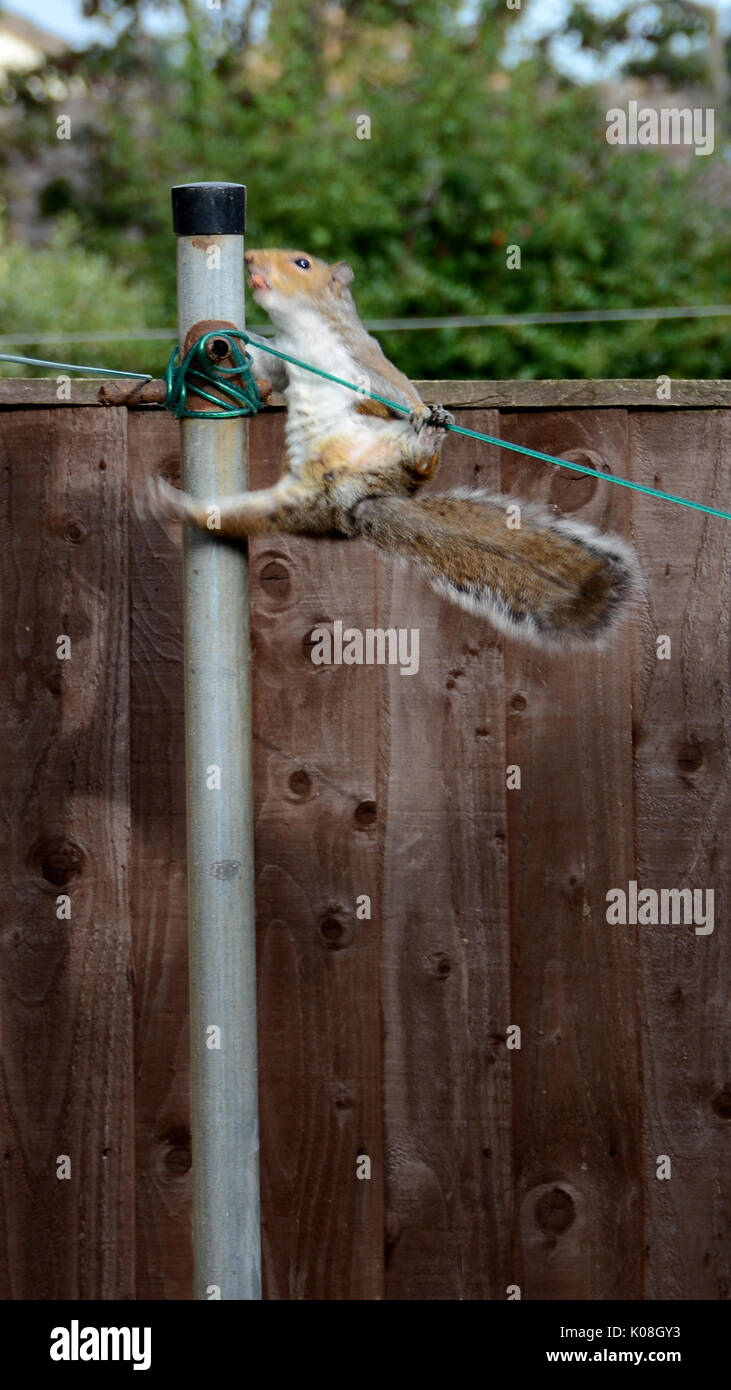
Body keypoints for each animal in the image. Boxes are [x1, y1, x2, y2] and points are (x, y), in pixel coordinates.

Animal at [149, 248, 639, 646]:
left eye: (302, 263)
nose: (251, 259)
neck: (303, 334)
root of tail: (356, 501)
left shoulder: (363, 359)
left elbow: (397, 388)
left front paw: (419, 407)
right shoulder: (283, 362)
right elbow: (266, 367)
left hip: (392, 453)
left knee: (419, 466)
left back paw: (428, 438)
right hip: (278, 507)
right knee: (231, 517)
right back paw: (175, 503)